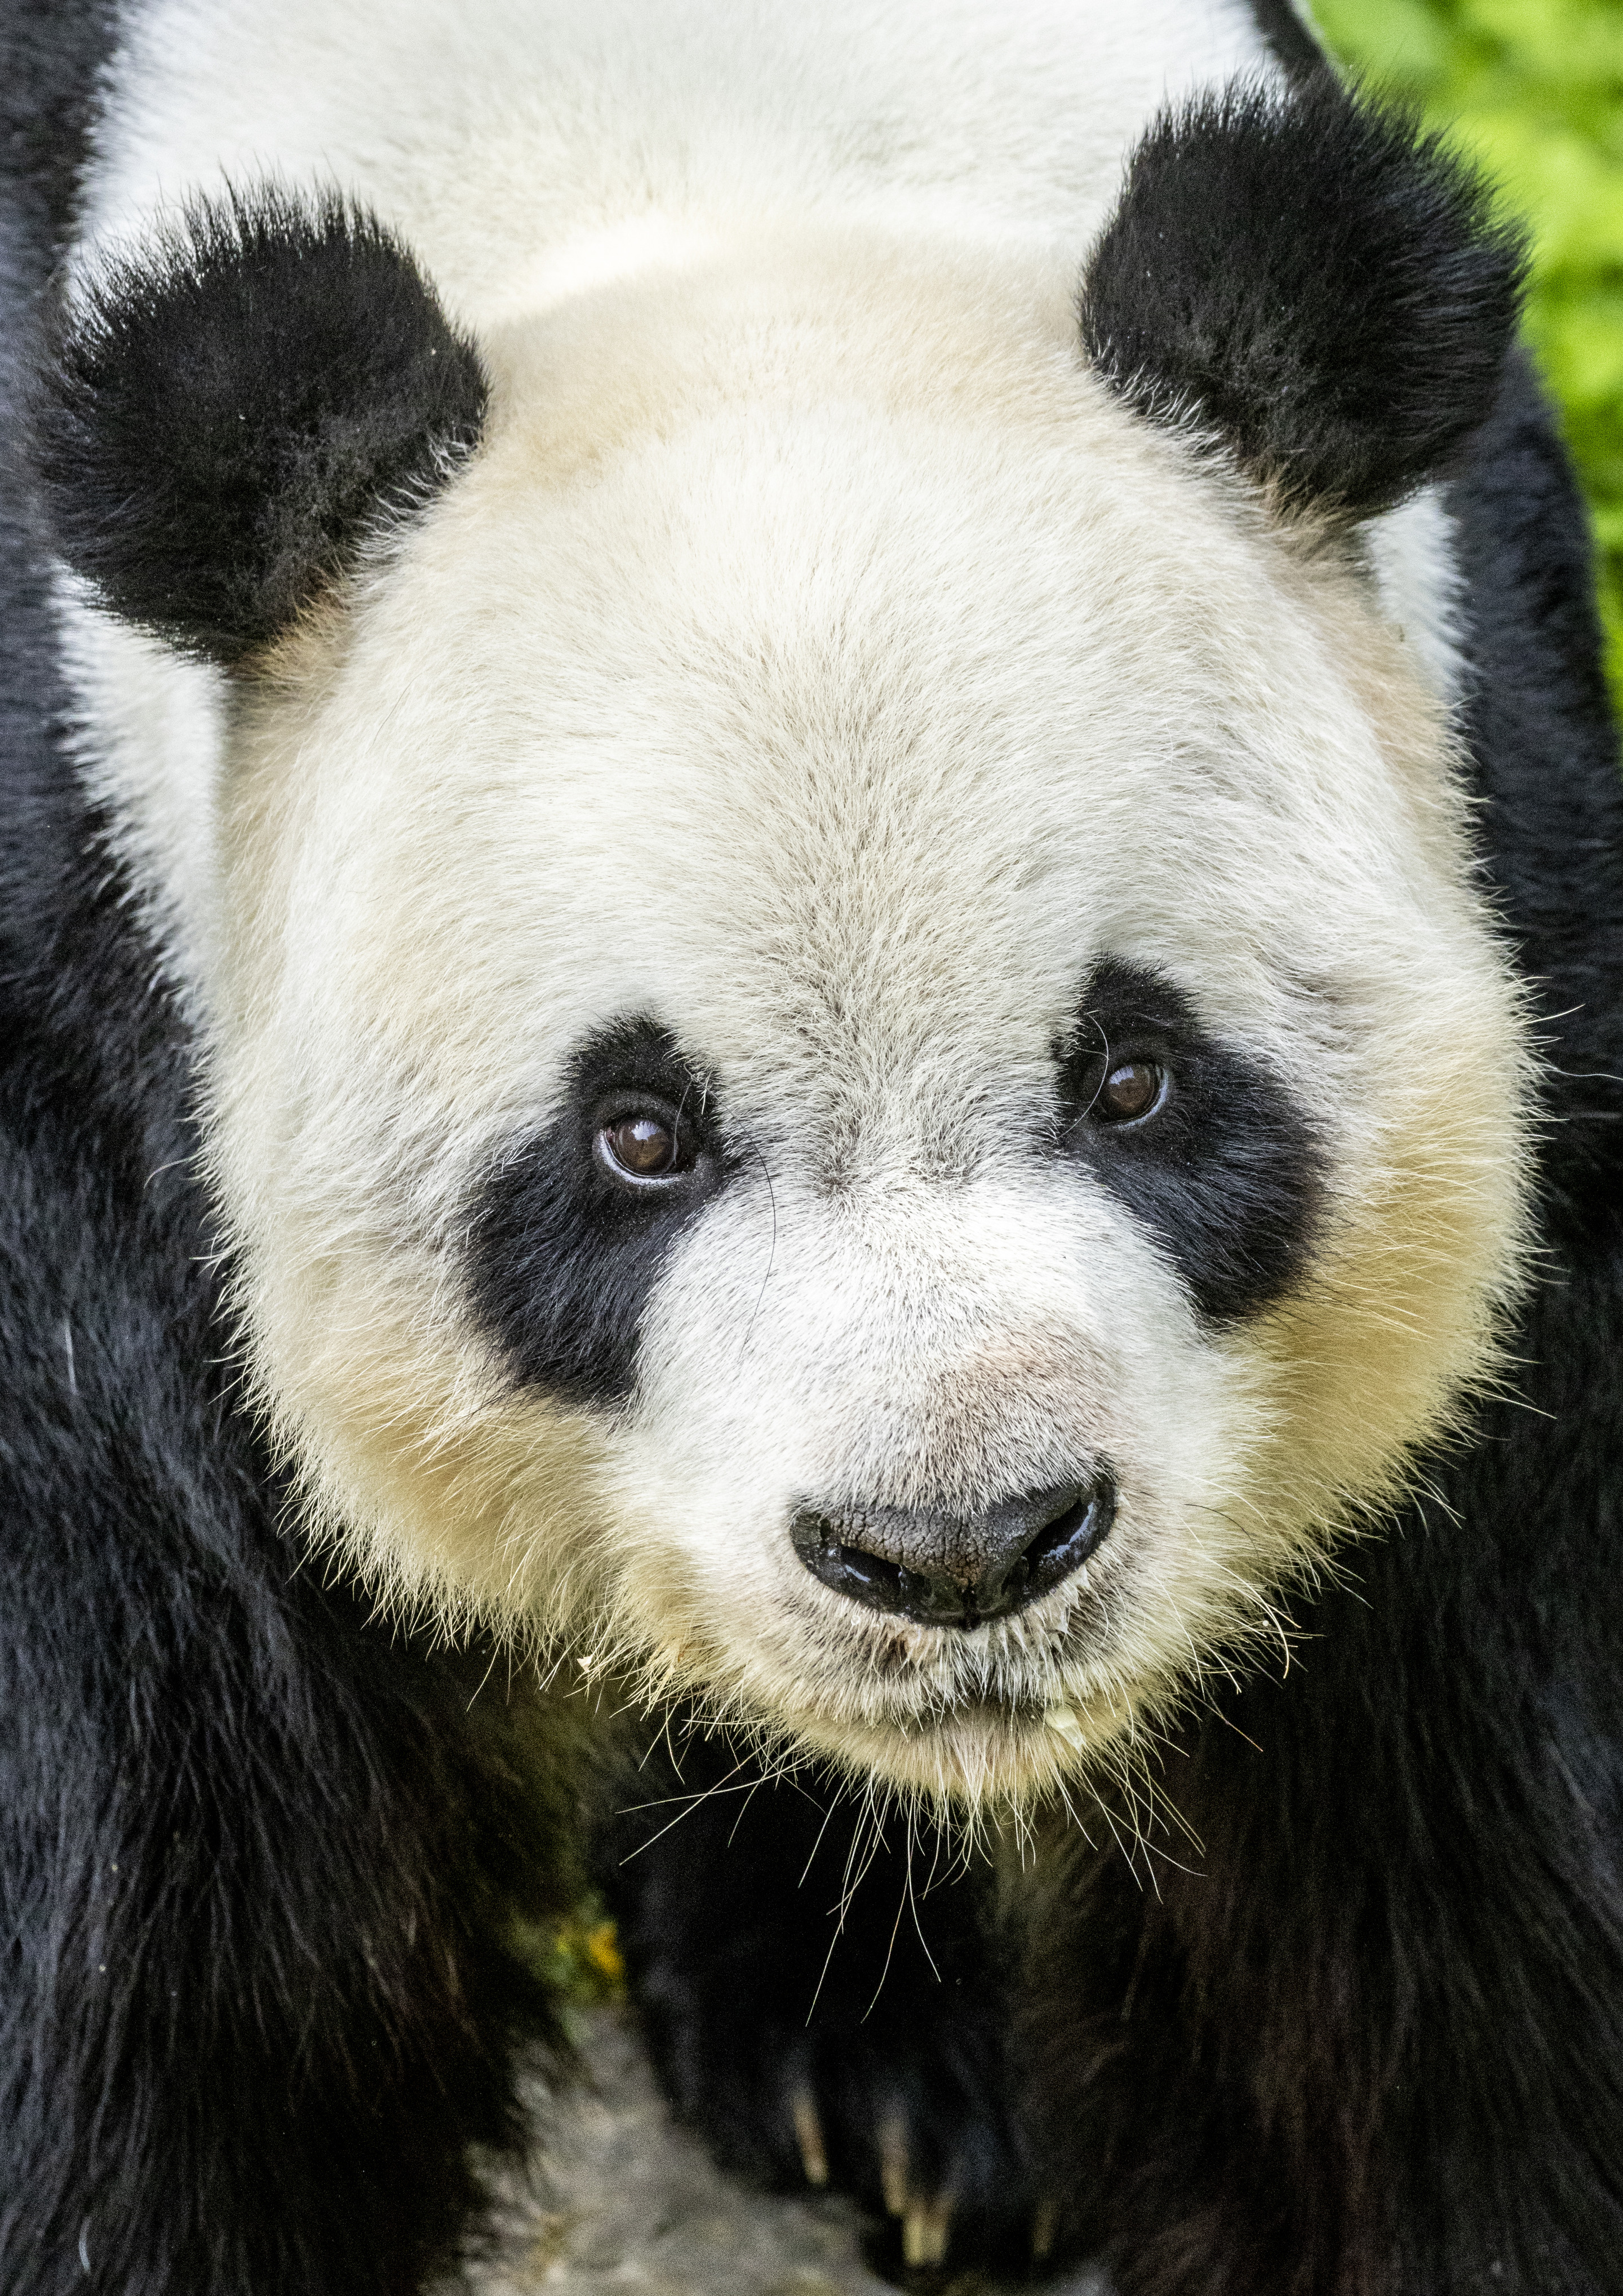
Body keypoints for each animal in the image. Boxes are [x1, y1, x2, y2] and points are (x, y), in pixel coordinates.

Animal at [3, 0, 1621, 2288]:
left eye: (1132, 1076)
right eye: (636, 1135)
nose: (958, 1551)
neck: (693, 151)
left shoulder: (1506, 801)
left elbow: (1439, 1878)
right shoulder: (90, 1000)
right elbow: (160, 1894)